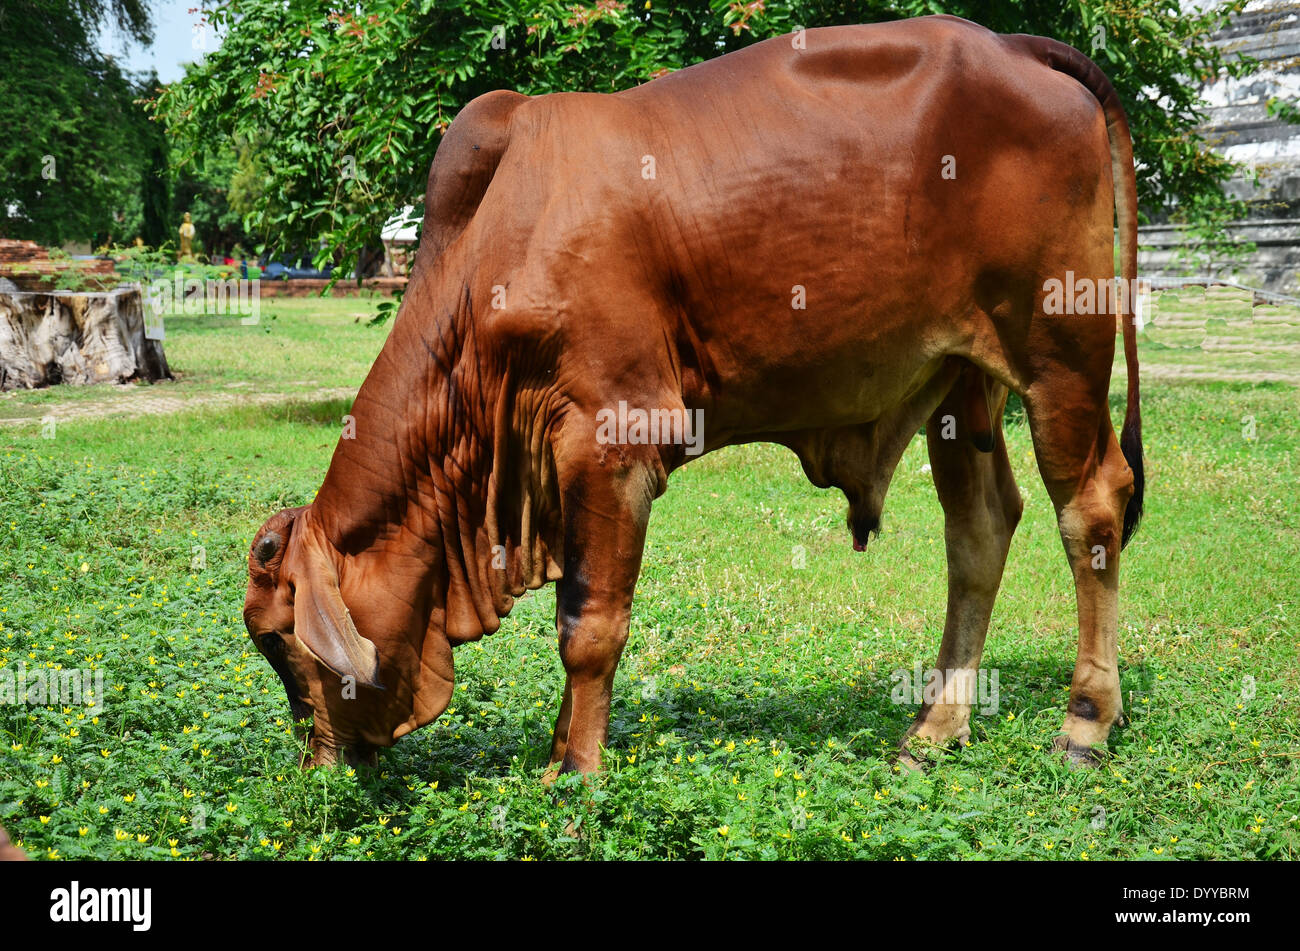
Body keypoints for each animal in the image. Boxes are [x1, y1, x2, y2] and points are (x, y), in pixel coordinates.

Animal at [244, 15, 1144, 774]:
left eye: (281, 643)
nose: (318, 763)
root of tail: (1019, 45)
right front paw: (558, 750)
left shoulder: (612, 438)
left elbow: (589, 623)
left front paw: (575, 773)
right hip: (961, 379)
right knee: (981, 527)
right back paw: (934, 727)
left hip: (1060, 348)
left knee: (1093, 508)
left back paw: (1085, 724)